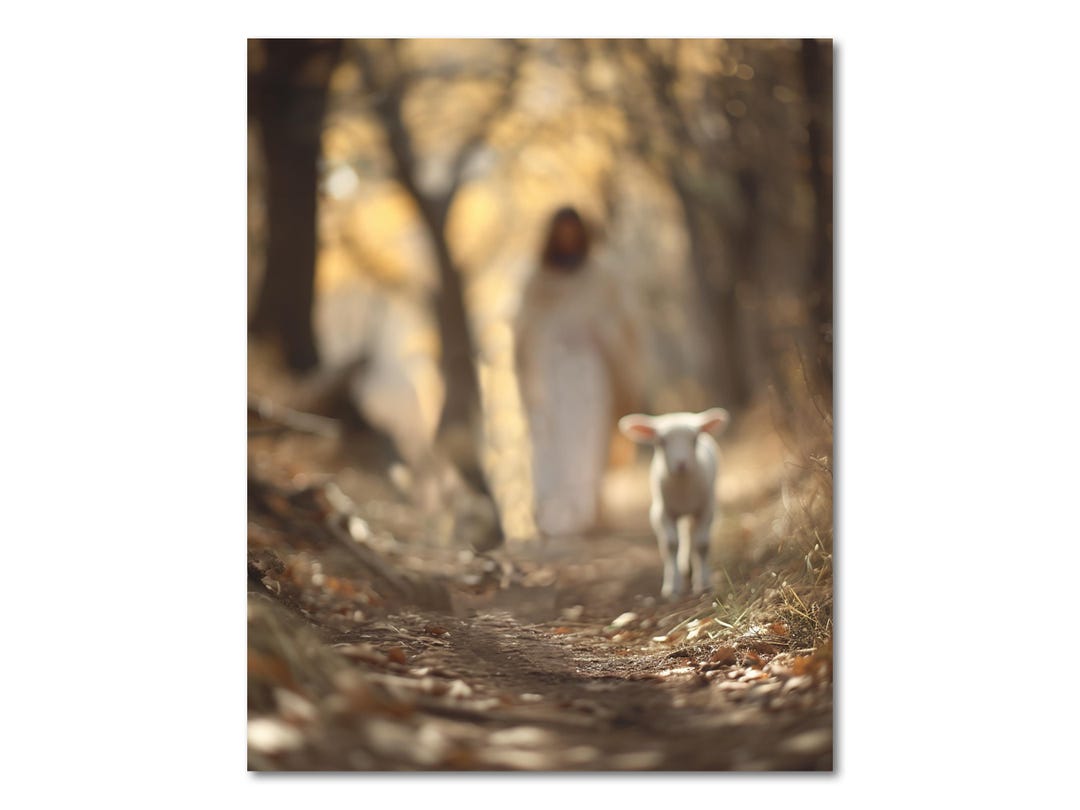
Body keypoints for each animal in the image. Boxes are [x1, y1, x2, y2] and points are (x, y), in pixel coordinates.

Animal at [618, 408, 730, 598]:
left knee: (691, 536)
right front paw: (672, 587)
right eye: (661, 442)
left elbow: (702, 545)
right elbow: (671, 545)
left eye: (694, 439)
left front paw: (704, 584)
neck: (682, 488)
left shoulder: (706, 509)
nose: (681, 463)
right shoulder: (664, 513)